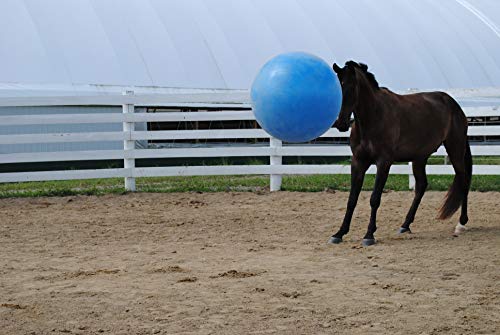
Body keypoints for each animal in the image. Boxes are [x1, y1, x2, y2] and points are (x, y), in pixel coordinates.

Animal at [328, 61, 472, 247]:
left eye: (351, 87)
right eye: (338, 87)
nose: (340, 123)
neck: (373, 118)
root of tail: (454, 104)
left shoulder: (383, 163)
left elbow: (375, 199)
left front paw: (369, 235)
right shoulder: (358, 162)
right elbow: (351, 199)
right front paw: (339, 233)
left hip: (455, 149)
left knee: (464, 181)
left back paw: (461, 223)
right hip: (420, 158)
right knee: (421, 186)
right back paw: (405, 225)